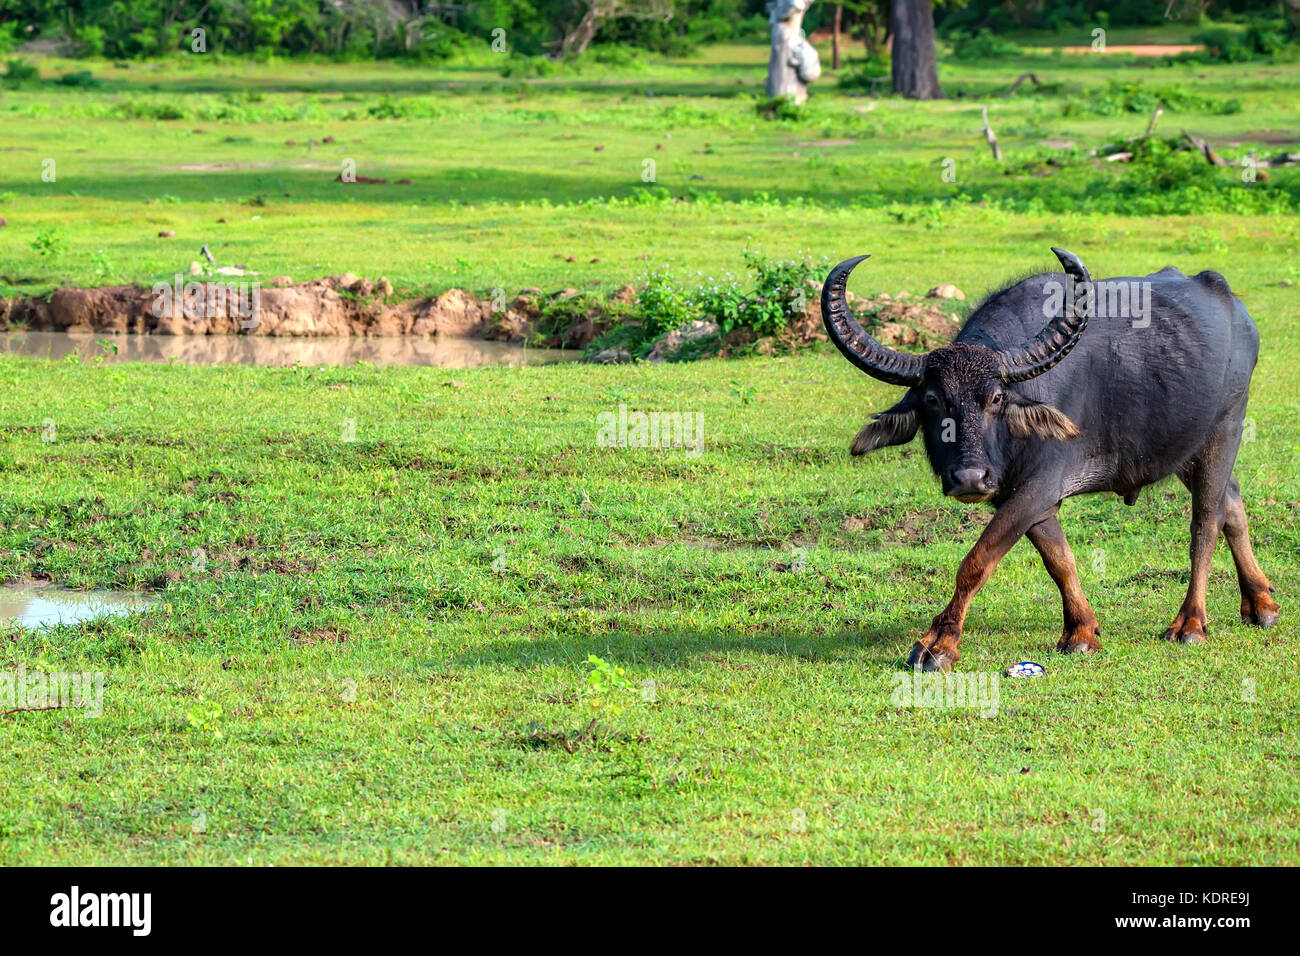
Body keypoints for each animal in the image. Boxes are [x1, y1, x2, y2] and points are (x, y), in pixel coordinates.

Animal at [822, 248, 1279, 670]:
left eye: (996, 398)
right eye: (933, 400)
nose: (970, 479)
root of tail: (1231, 303)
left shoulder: (1038, 486)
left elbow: (977, 561)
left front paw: (939, 644)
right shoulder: (1025, 498)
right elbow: (1059, 559)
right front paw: (1081, 631)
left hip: (1225, 429)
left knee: (1206, 521)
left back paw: (1191, 624)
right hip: (1186, 447)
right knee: (1232, 503)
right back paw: (1261, 604)